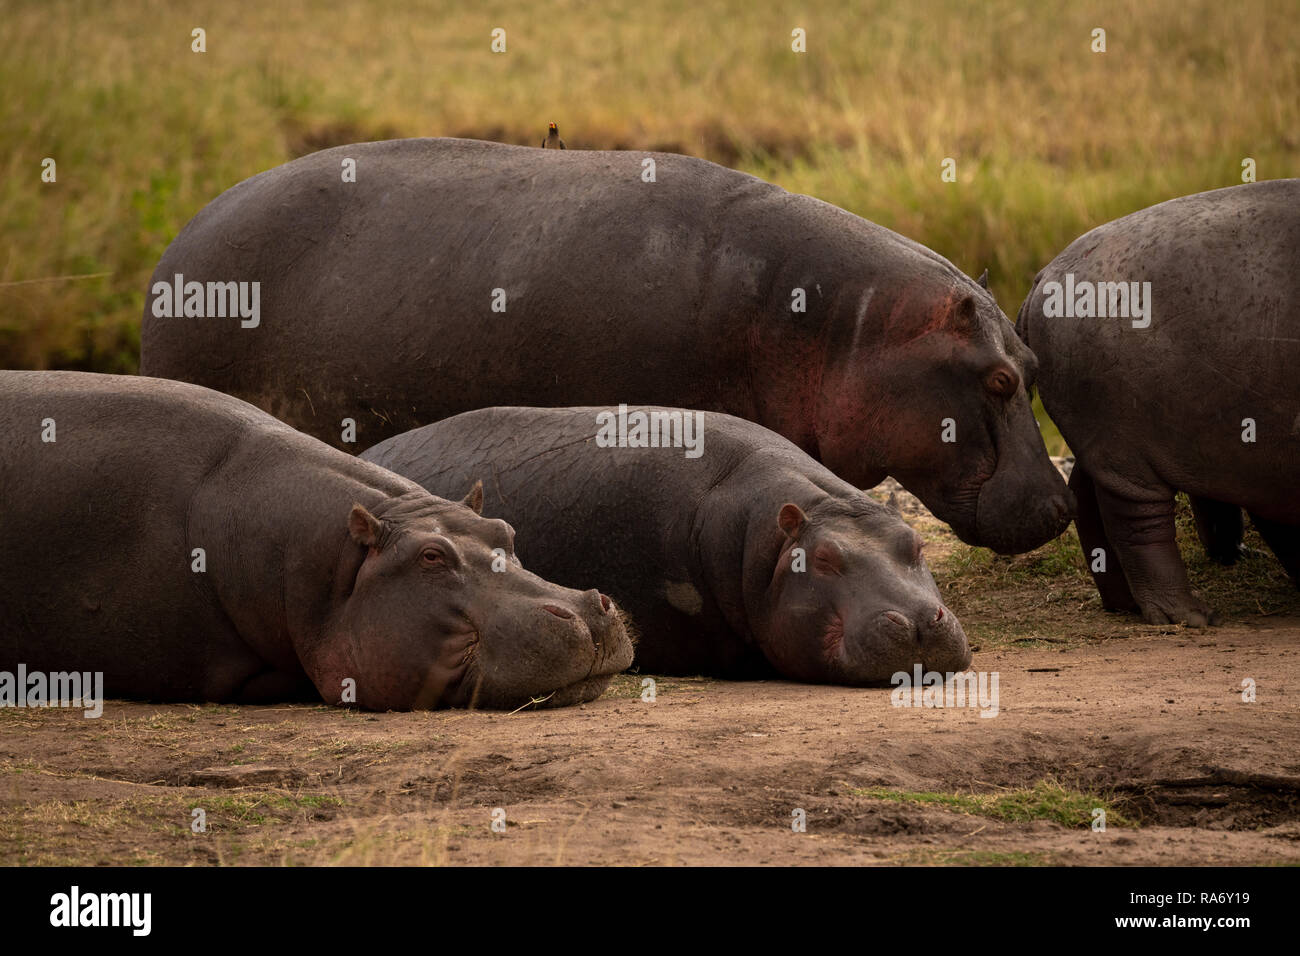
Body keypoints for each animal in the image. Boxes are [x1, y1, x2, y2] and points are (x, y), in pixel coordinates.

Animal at [1016, 180, 1300, 626]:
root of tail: (1043, 275)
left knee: (1087, 497)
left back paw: (1126, 603)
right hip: (1126, 453)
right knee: (1139, 525)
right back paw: (1188, 616)